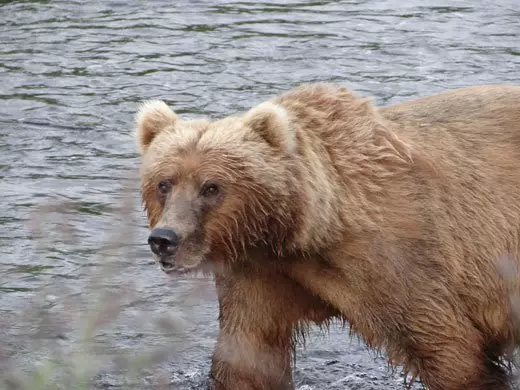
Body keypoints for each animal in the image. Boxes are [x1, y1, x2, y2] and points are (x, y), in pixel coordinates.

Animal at [136, 84, 520, 390]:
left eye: (211, 187)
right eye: (164, 183)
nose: (164, 239)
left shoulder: (400, 258)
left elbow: (448, 350)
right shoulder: (259, 272)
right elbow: (249, 355)